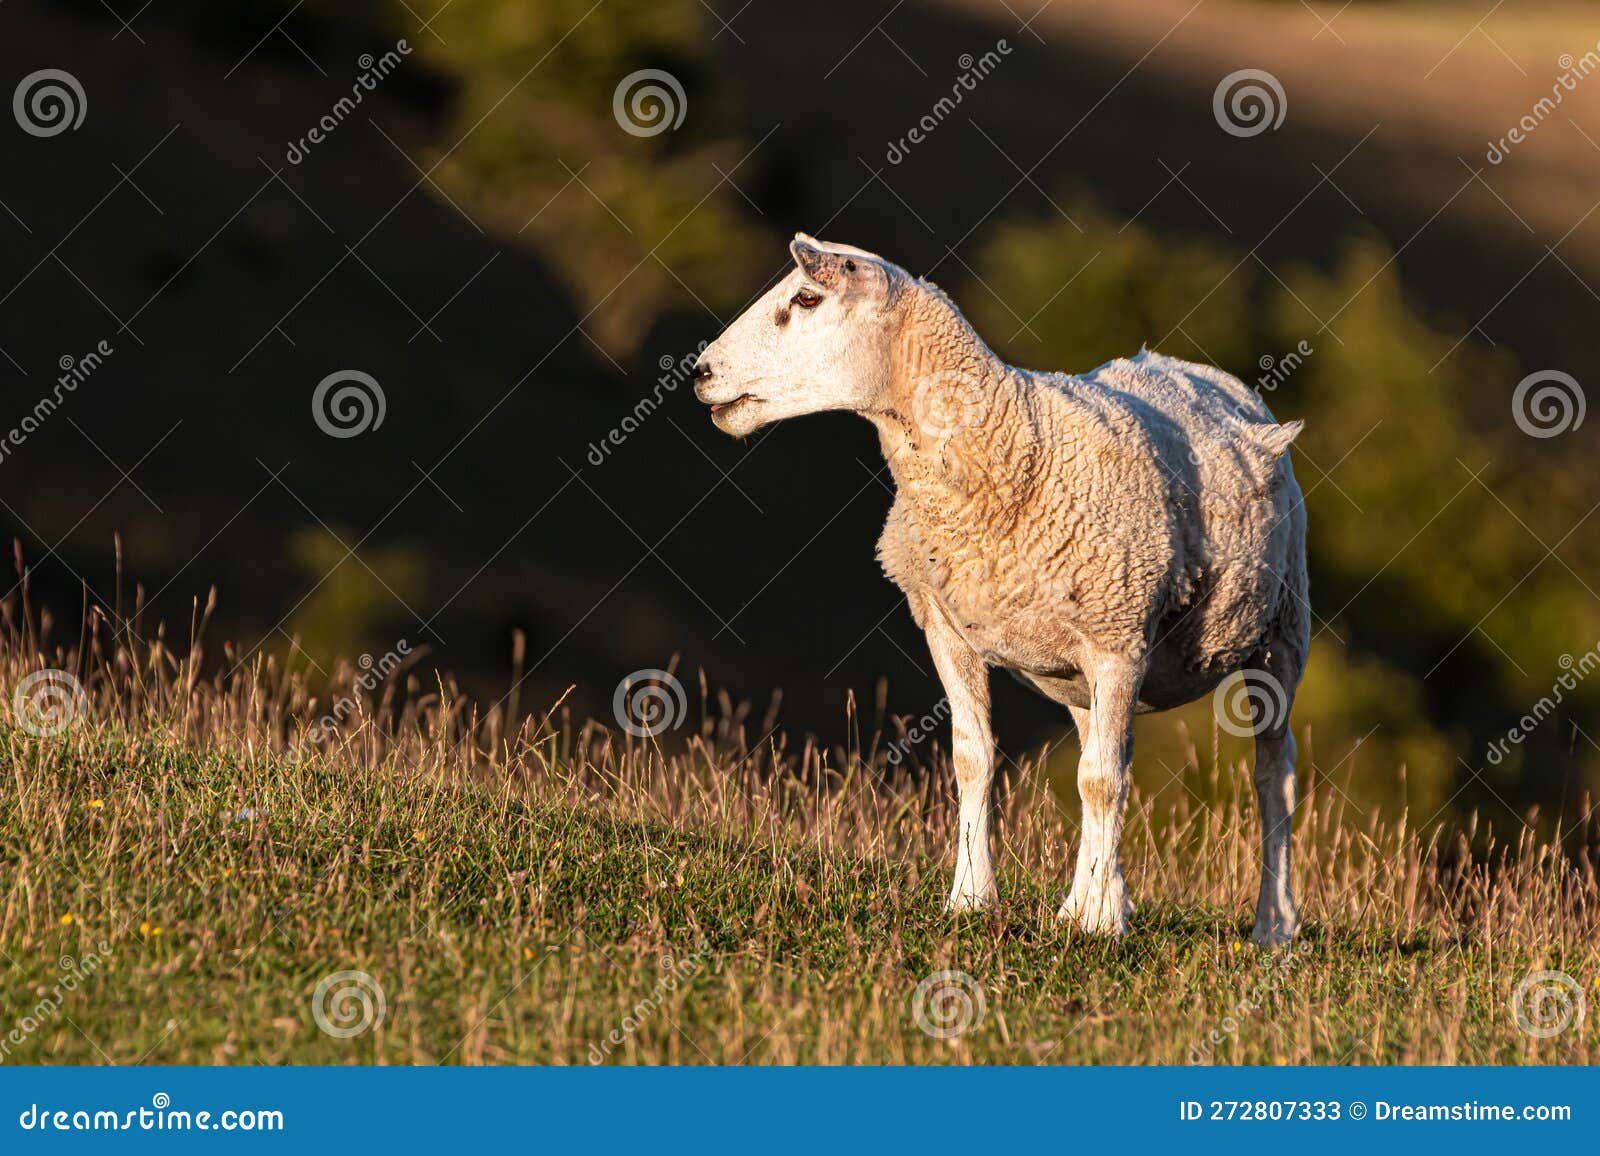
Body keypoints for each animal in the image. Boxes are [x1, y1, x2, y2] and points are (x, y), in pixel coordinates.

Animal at [693, 234, 1309, 945]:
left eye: (807, 298)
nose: (701, 372)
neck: (1014, 443)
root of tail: (1207, 374)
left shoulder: (1118, 635)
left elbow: (1103, 783)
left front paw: (1098, 924)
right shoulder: (946, 627)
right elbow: (976, 761)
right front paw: (972, 897)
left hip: (1280, 631)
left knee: (1271, 774)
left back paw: (1271, 924)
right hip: (1079, 677)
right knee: (1109, 754)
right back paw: (1096, 896)